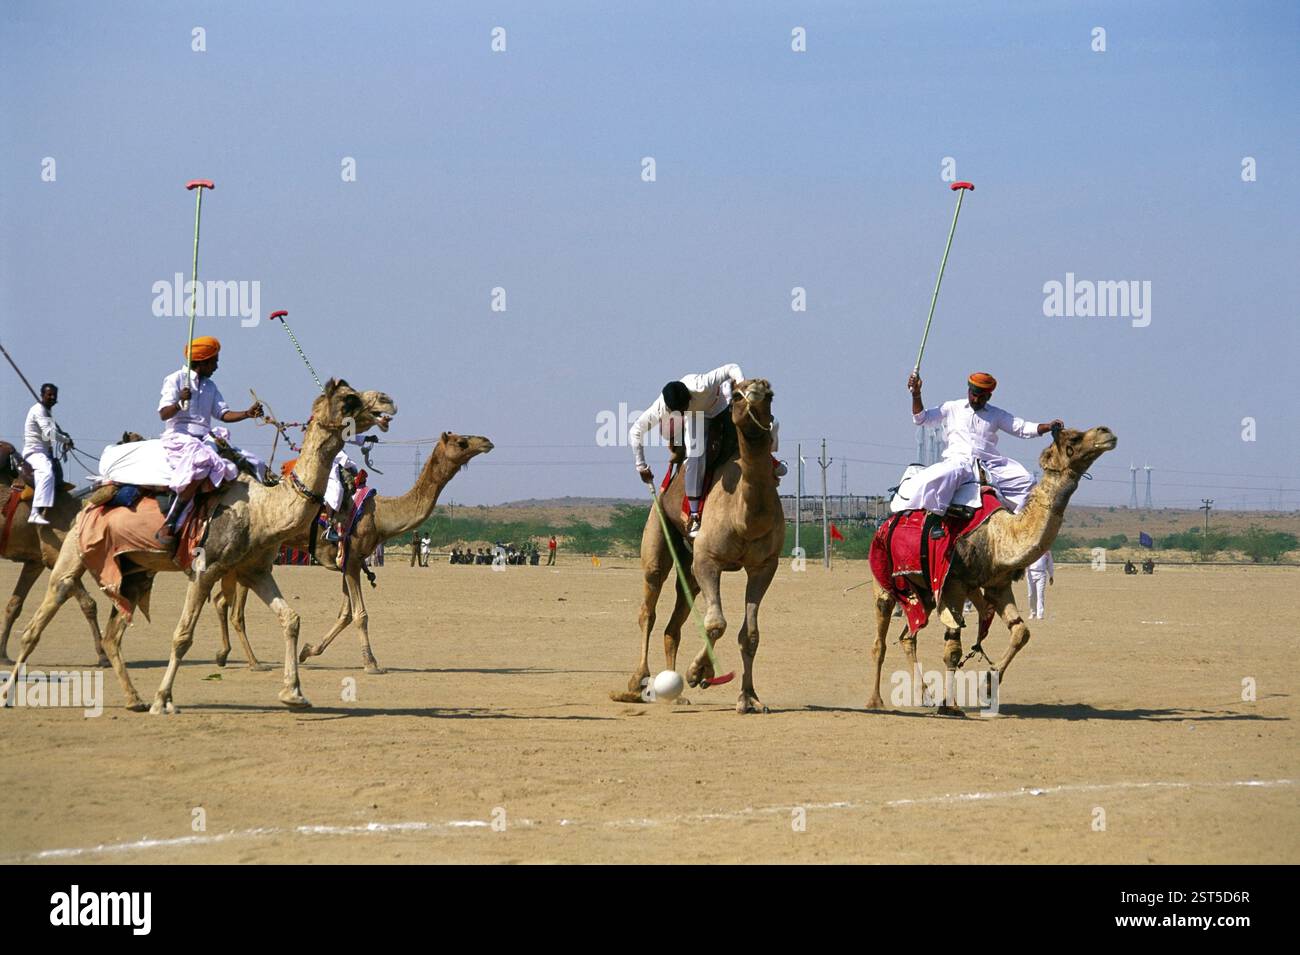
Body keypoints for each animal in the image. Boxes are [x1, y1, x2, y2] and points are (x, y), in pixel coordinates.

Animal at [0, 379, 396, 714]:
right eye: (349, 398)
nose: (387, 401)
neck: (262, 510)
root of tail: (88, 498)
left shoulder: (254, 570)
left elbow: (291, 619)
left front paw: (293, 694)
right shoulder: (205, 569)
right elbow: (182, 636)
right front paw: (164, 700)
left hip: (135, 572)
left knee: (114, 635)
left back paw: (133, 699)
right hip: (72, 550)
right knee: (42, 617)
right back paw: (9, 694)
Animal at [214, 430, 494, 673]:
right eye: (462, 442)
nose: (487, 441)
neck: (380, 516)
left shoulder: (349, 560)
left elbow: (345, 614)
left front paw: (308, 650)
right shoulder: (352, 561)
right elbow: (360, 614)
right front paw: (371, 664)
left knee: (221, 599)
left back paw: (223, 655)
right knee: (236, 611)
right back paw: (254, 663)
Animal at [614, 379, 784, 714]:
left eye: (770, 395)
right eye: (738, 394)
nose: (757, 389)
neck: (745, 517)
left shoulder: (764, 566)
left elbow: (750, 634)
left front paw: (749, 698)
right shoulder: (708, 560)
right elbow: (716, 623)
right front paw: (698, 672)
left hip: (688, 570)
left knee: (673, 623)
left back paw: (675, 692)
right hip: (658, 533)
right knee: (648, 609)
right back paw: (637, 682)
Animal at [866, 425, 1117, 714]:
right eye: (1074, 438)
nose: (1107, 432)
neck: (999, 537)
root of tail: (885, 522)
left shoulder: (997, 585)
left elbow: (1021, 632)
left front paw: (986, 687)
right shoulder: (954, 584)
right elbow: (953, 649)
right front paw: (950, 706)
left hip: (925, 593)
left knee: (909, 636)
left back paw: (924, 696)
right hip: (884, 582)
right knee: (880, 640)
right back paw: (876, 701)